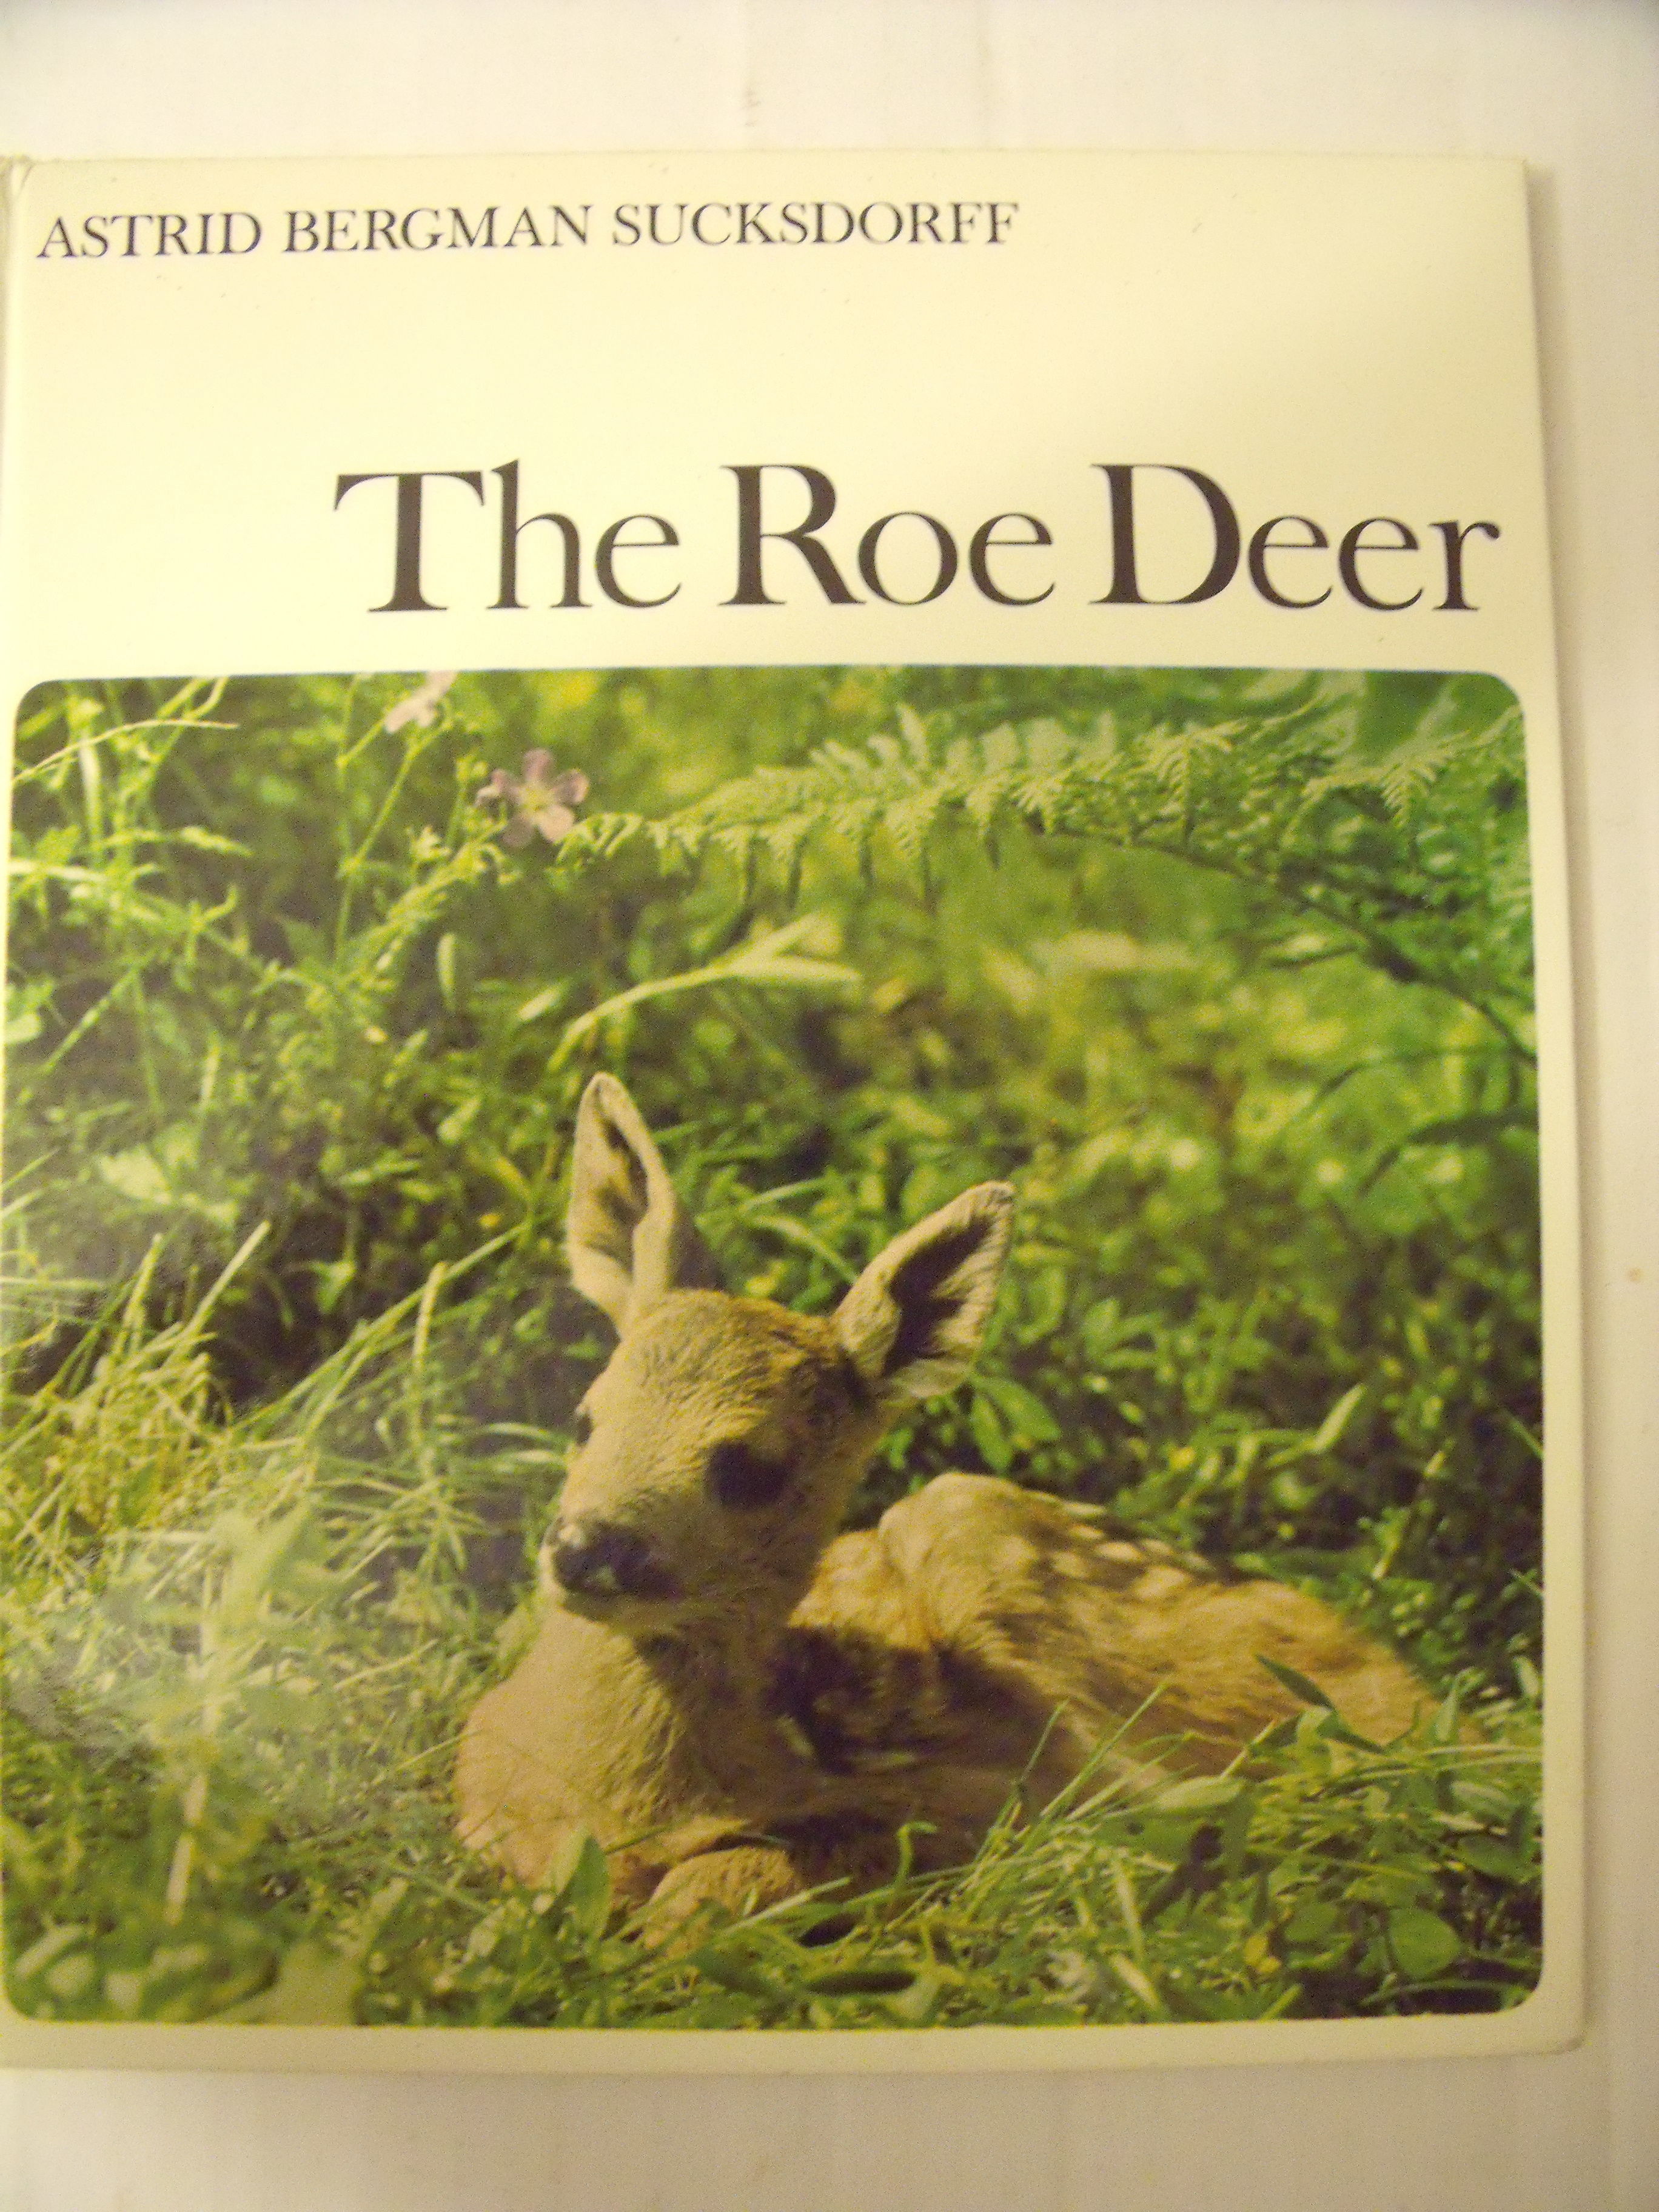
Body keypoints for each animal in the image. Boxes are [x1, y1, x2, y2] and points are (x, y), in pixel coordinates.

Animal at [456, 1073, 1435, 1930]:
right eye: (585, 1418)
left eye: (753, 1468)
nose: (587, 1546)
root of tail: (1389, 1666)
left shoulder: (970, 1795)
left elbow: (718, 1887)